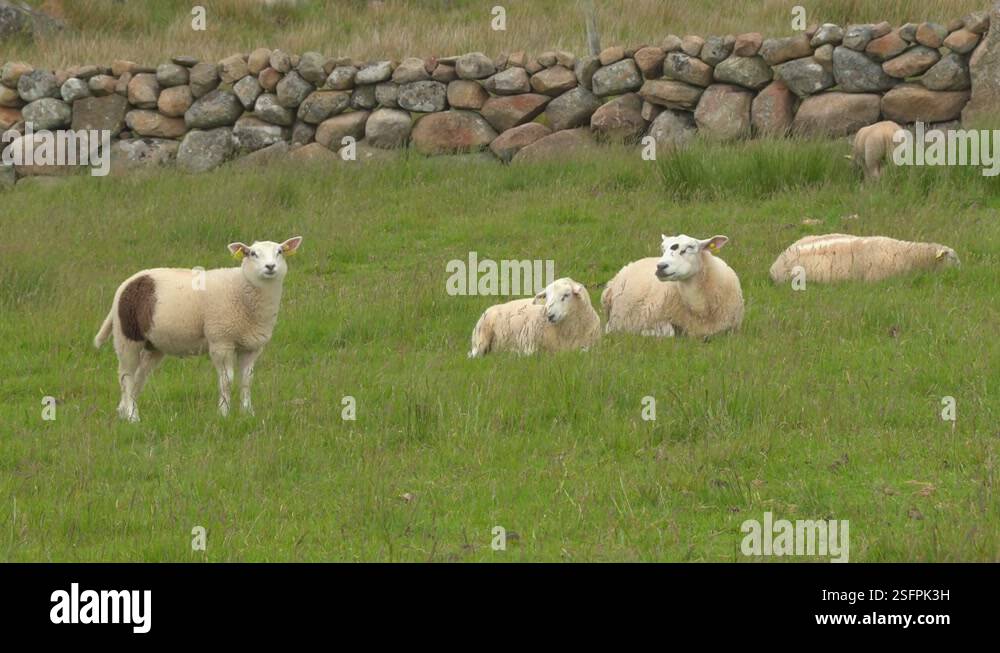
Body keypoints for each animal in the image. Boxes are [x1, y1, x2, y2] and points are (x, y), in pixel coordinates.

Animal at [93, 237, 303, 421]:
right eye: (252, 253)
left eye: (280, 251)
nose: (270, 267)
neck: (243, 288)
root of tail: (127, 284)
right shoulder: (220, 341)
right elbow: (226, 380)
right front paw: (224, 413)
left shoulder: (252, 346)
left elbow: (246, 380)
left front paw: (247, 413)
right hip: (127, 336)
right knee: (126, 376)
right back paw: (131, 416)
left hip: (154, 344)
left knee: (139, 377)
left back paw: (126, 411)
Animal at [468, 277, 601, 357]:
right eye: (547, 296)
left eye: (566, 295)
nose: (549, 315)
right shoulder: (528, 345)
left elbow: (584, 351)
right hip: (481, 340)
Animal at [602, 234, 744, 339]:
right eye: (663, 249)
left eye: (690, 247)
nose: (660, 266)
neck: (700, 308)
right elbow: (670, 332)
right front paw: (645, 333)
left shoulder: (732, 329)